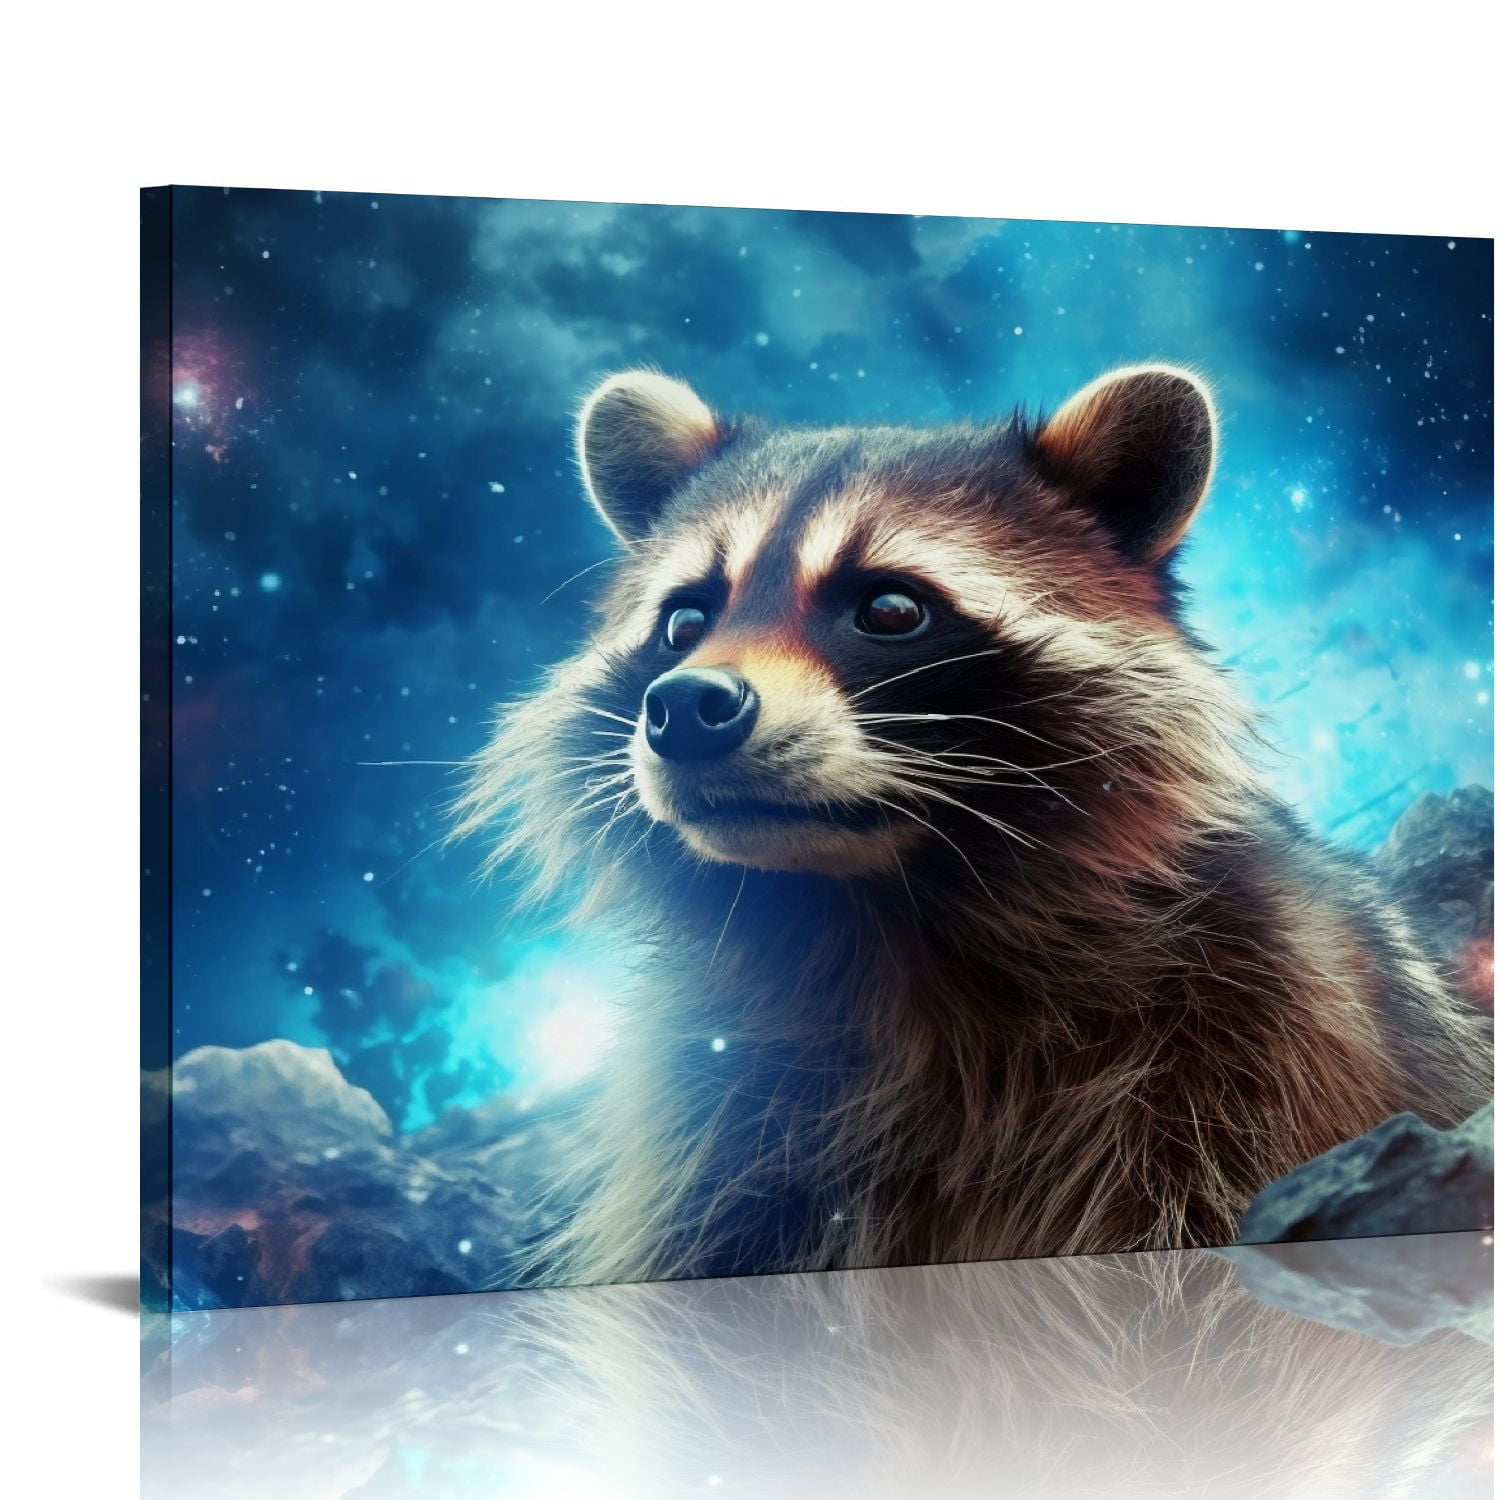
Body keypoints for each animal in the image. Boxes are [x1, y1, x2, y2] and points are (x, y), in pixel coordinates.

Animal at [456, 365, 1492, 1287]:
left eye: (889, 608)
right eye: (683, 620)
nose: (685, 708)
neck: (883, 910)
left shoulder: (1277, 1031)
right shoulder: (716, 1119)